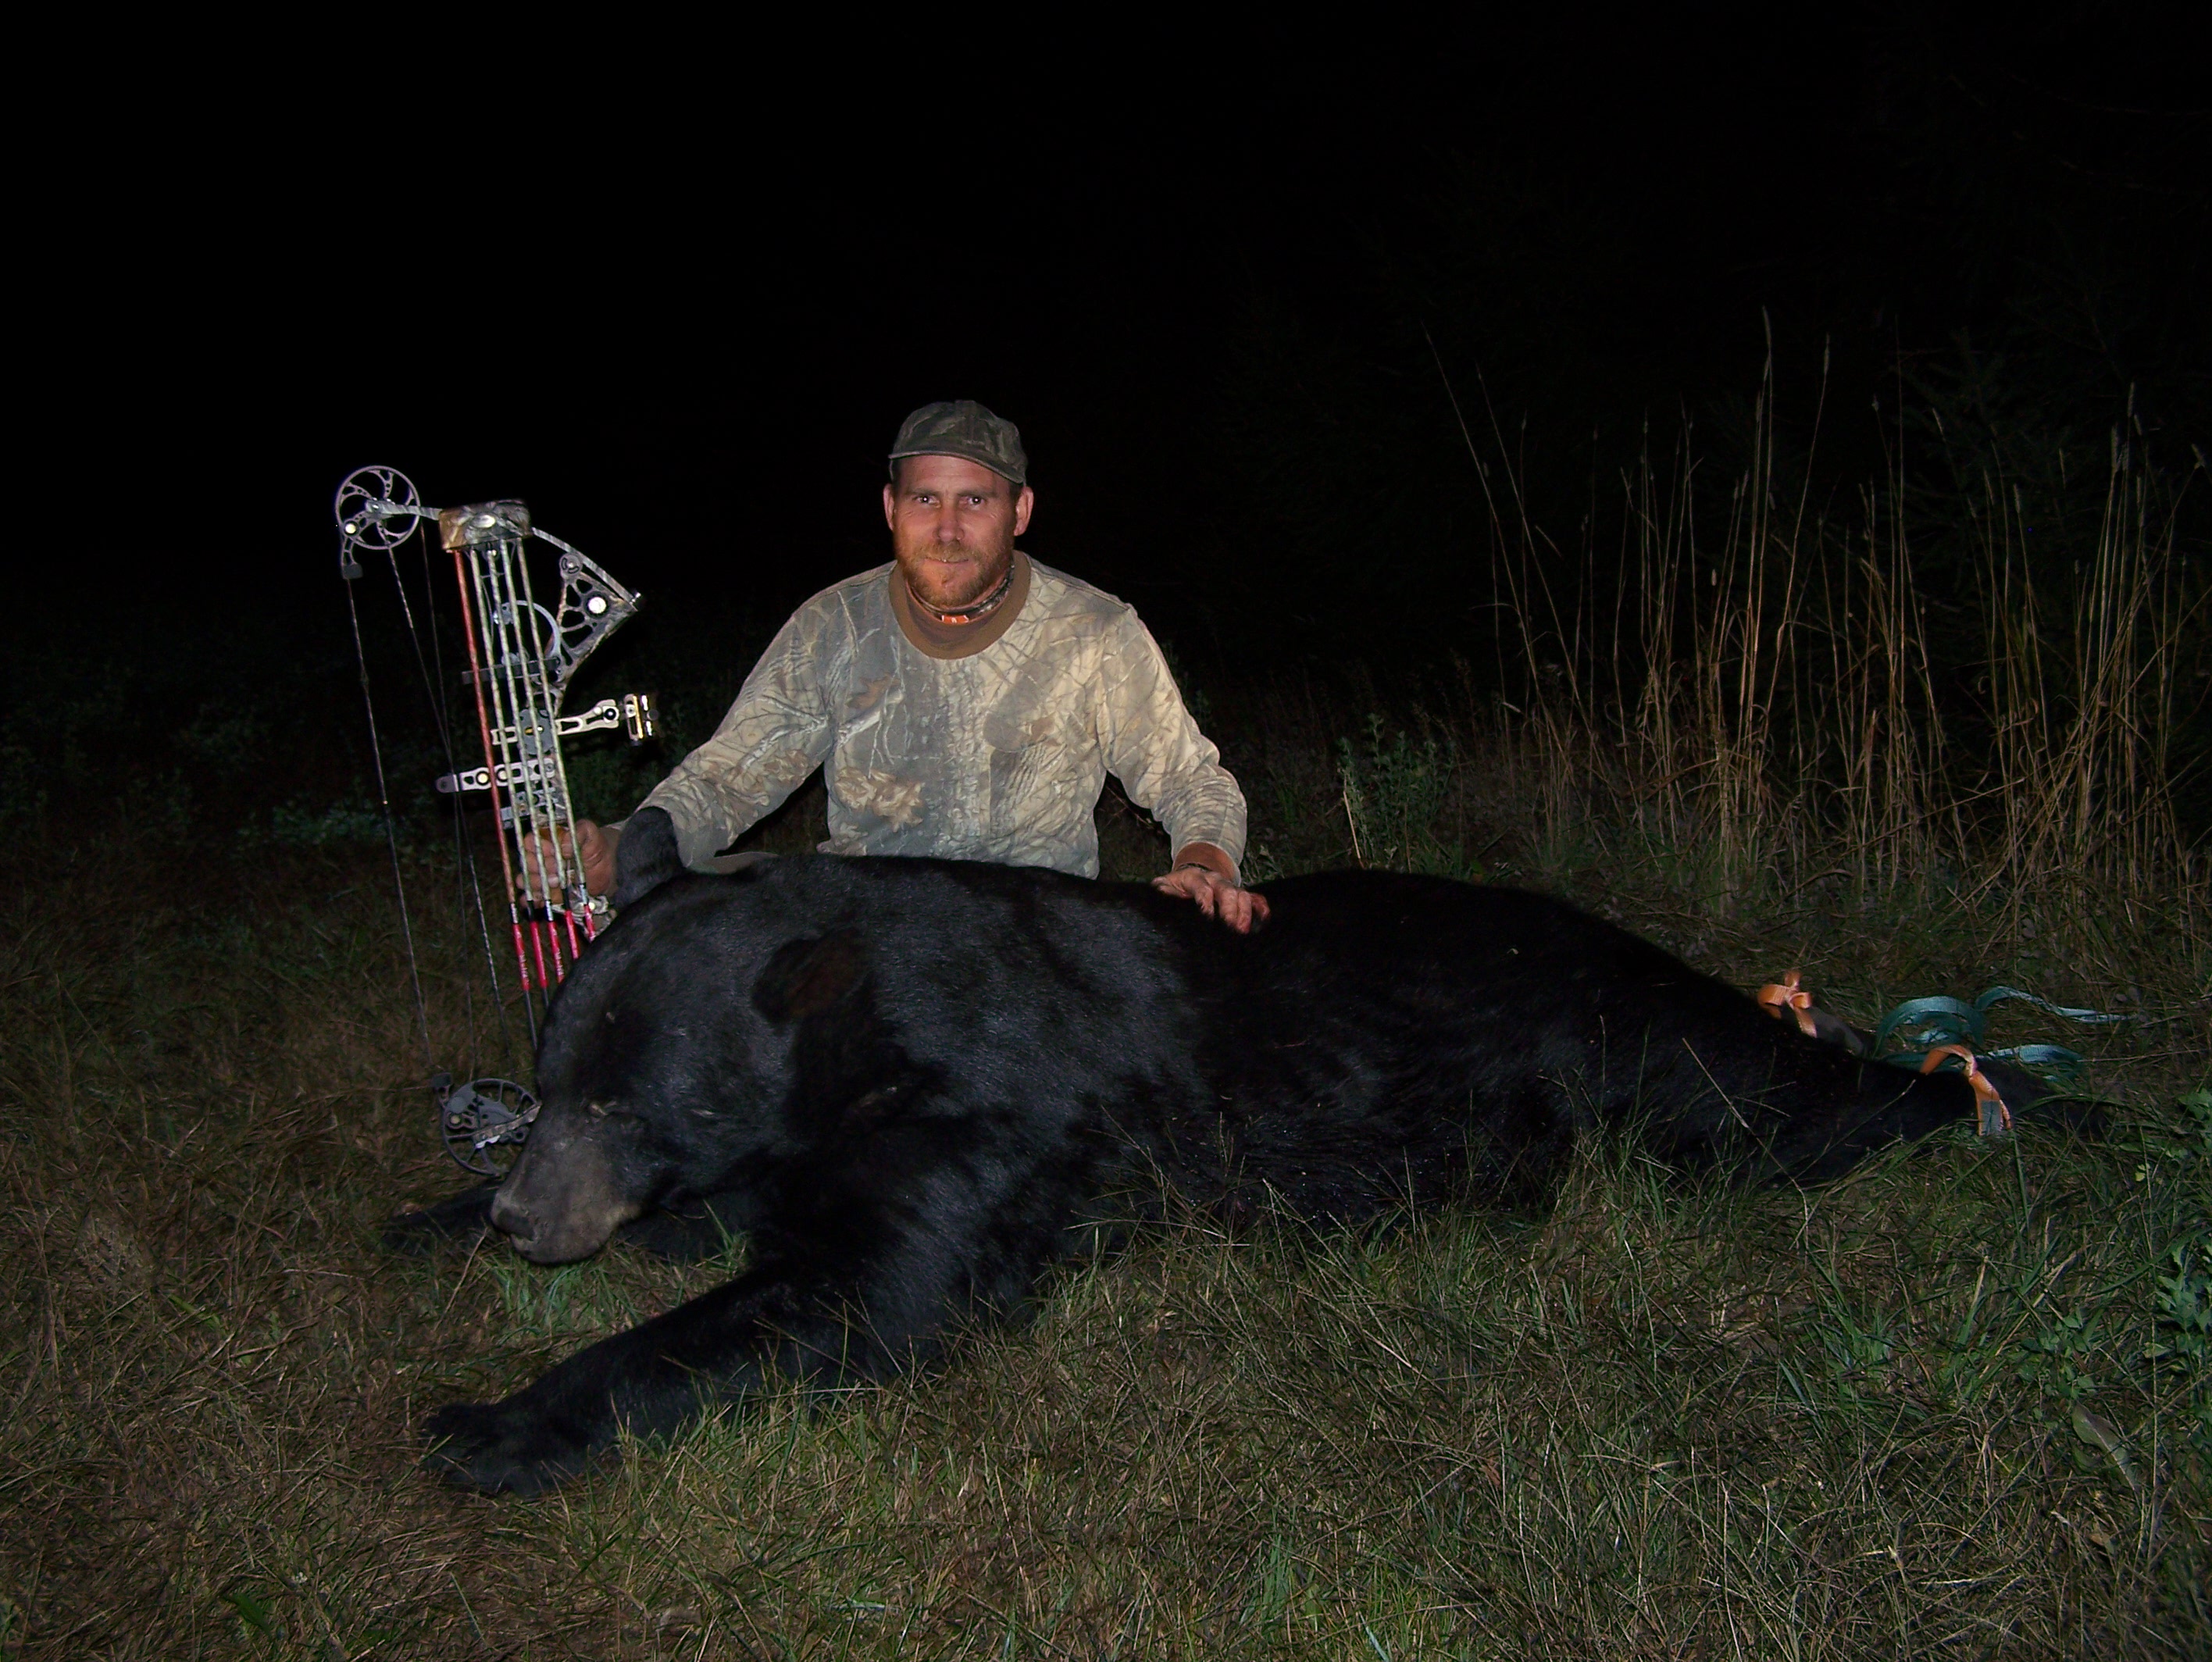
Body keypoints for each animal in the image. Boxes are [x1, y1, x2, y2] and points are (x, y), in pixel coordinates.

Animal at [406, 807, 2042, 1496]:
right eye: (554, 1080)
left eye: (628, 1100)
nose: (529, 1219)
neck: (859, 1032)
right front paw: (437, 1209)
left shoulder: (995, 1117)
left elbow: (860, 1291)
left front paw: (491, 1422)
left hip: (1635, 1054)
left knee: (1777, 1103)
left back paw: (1984, 1099)